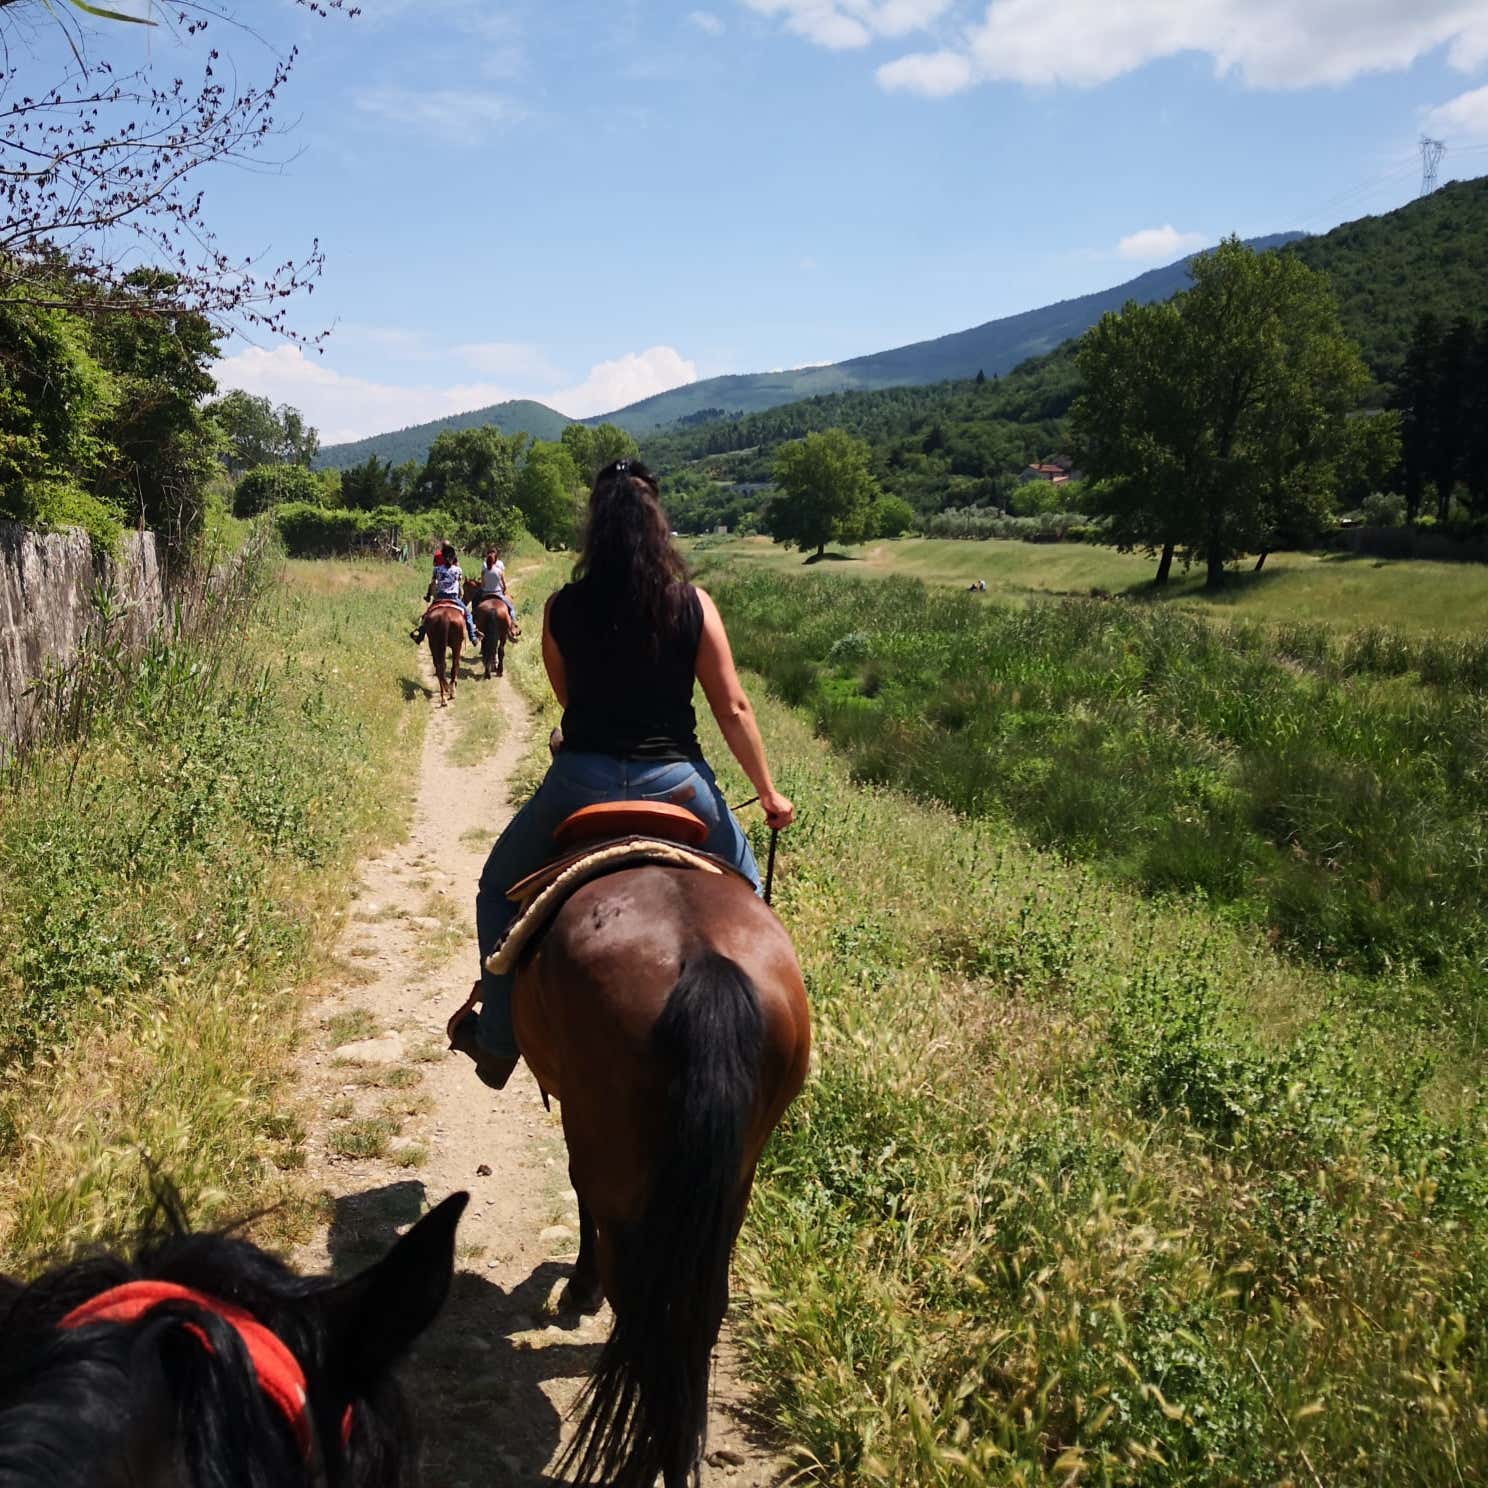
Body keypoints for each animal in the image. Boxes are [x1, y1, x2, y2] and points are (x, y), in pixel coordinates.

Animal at [512, 863, 811, 1488]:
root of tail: (702, 960)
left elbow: (578, 1191)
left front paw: (579, 1286)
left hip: (618, 1156)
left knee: (643, 1305)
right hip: (735, 1177)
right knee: (703, 1303)